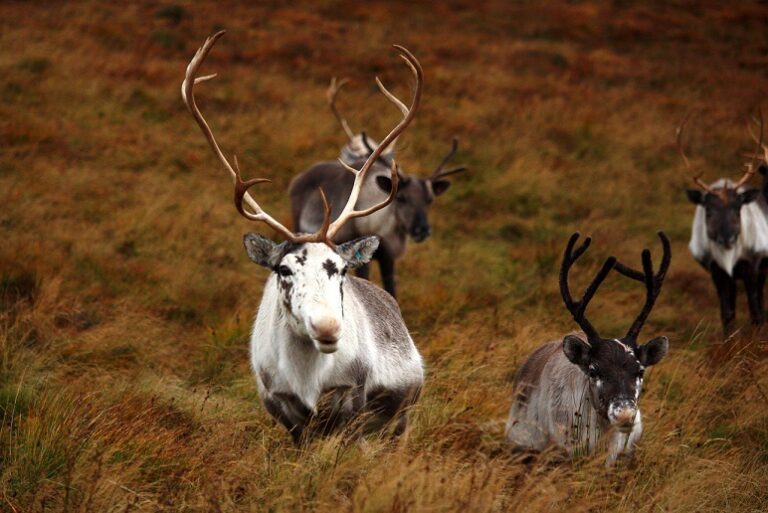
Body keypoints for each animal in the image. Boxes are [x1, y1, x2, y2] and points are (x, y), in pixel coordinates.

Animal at [182, 31, 424, 444]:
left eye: (340, 269)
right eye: (283, 269)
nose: (328, 327)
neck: (308, 380)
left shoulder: (350, 397)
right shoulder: (277, 402)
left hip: (402, 417)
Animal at [287, 77, 468, 298]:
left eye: (429, 200)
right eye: (401, 198)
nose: (422, 230)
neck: (385, 226)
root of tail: (299, 177)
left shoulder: (388, 256)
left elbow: (391, 289)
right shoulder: (361, 252)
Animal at [681, 114, 768, 335]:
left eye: (738, 210)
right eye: (708, 211)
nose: (727, 238)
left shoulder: (752, 264)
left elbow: (755, 311)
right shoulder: (716, 271)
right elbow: (727, 314)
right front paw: (729, 341)